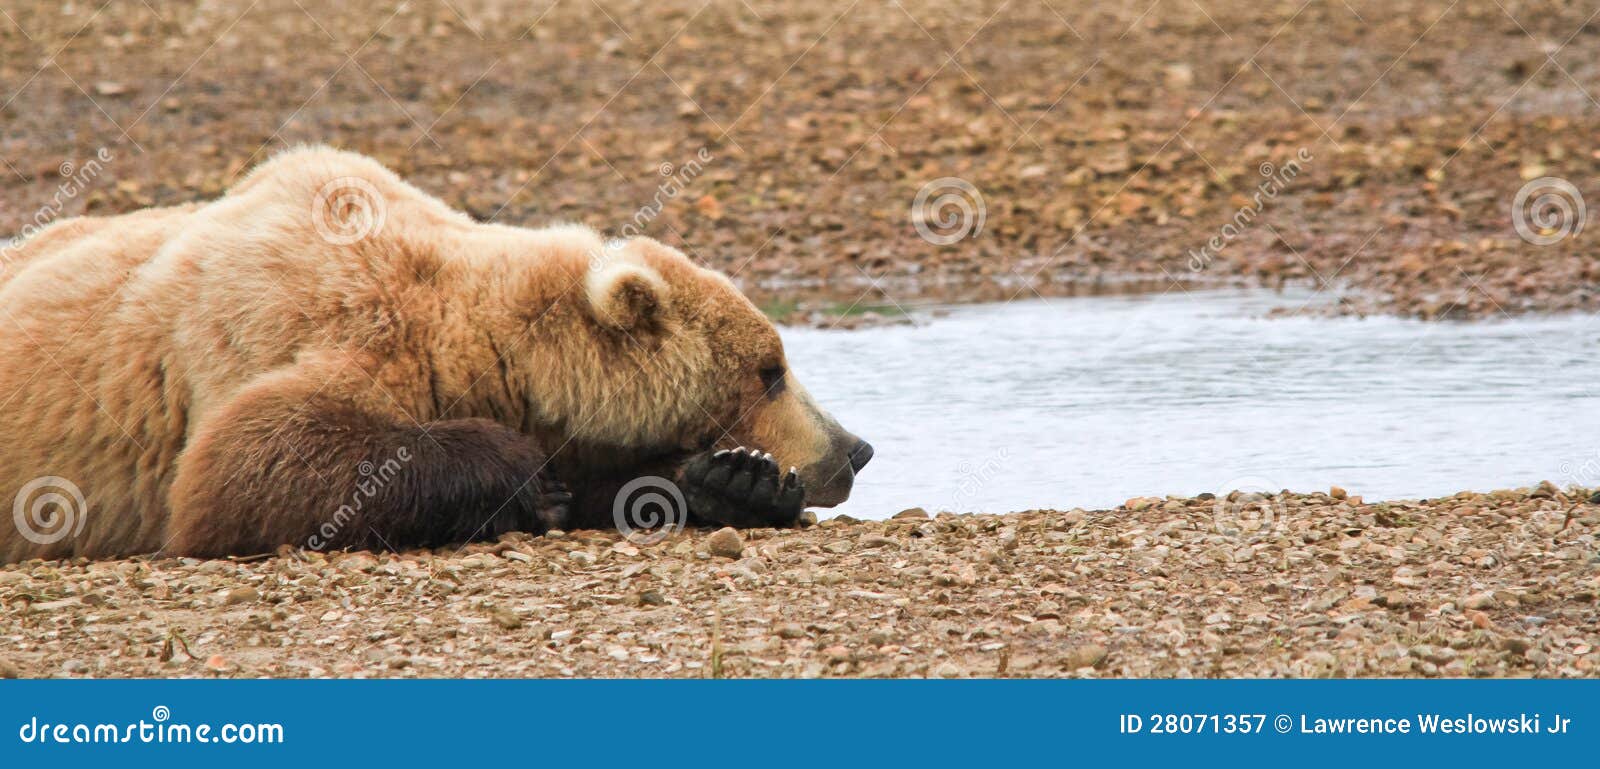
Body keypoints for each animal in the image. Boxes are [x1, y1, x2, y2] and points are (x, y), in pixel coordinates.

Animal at [0, 146, 872, 563]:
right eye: (771, 370)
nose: (854, 448)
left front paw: (736, 480)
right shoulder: (308, 321)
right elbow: (241, 462)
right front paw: (520, 477)